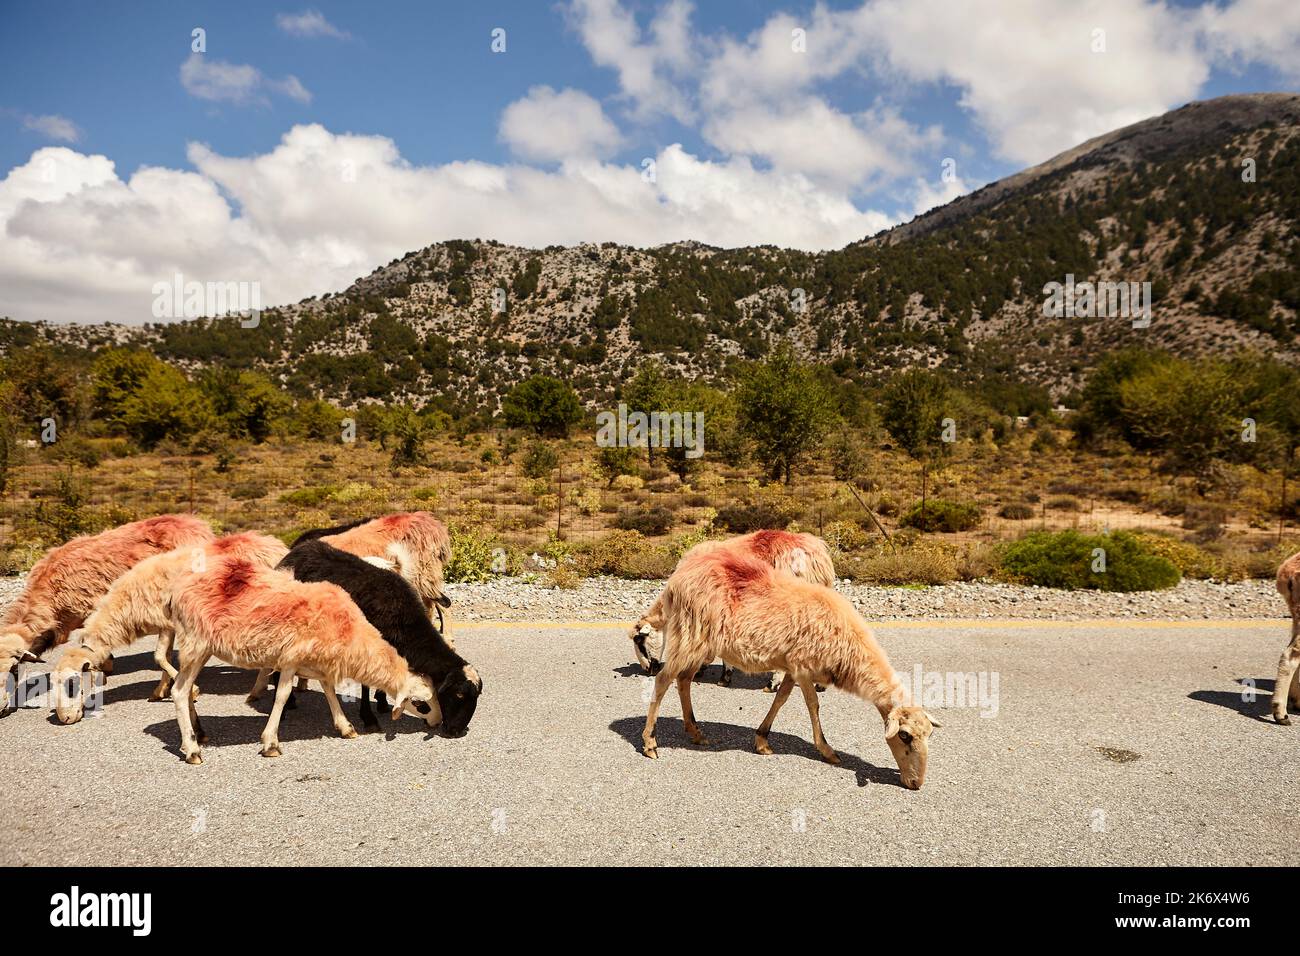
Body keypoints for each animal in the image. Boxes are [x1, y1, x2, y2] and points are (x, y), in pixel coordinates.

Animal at [50, 532, 288, 724]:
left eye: (72, 684)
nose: (64, 719)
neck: (124, 607)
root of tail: (275, 544)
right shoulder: (168, 626)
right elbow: (164, 658)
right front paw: (161, 689)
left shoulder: (166, 624)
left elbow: (159, 657)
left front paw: (192, 690)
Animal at [166, 556, 437, 764]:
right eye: (420, 703)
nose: (436, 723)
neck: (350, 633)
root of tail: (176, 589)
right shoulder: (290, 659)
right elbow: (282, 696)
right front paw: (271, 743)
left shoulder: (317, 662)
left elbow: (329, 690)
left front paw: (345, 727)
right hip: (195, 641)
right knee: (179, 691)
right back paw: (192, 749)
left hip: (202, 647)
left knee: (187, 689)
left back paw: (198, 733)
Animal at [271, 540, 481, 735]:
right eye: (459, 695)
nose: (457, 731)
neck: (403, 621)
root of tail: (298, 550)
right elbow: (365, 684)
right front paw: (369, 718)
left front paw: (381, 702)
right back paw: (287, 703)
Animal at [630, 530, 835, 690]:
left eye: (640, 640)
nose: (648, 670)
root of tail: (816, 555)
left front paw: (717, 674)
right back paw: (819, 685)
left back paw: (773, 684)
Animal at [642, 547, 940, 790]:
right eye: (904, 736)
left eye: (929, 734)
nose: (916, 783)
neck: (850, 649)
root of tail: (675, 580)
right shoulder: (804, 667)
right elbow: (813, 705)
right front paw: (827, 750)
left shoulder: (793, 668)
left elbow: (781, 699)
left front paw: (762, 740)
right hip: (690, 635)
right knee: (663, 680)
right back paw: (650, 743)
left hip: (700, 643)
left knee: (683, 681)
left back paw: (695, 732)